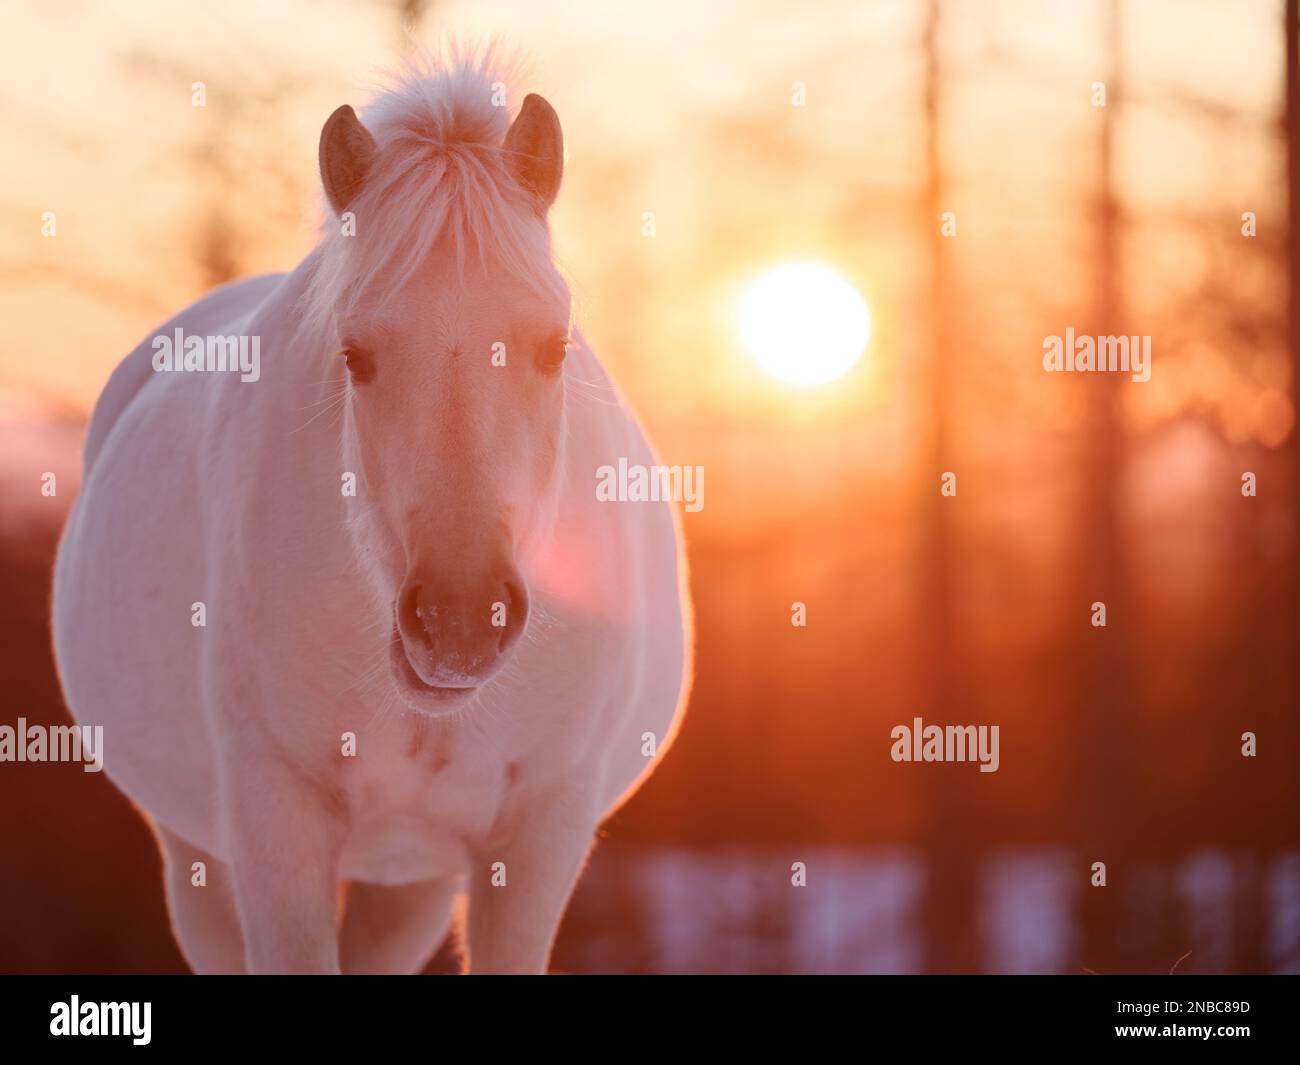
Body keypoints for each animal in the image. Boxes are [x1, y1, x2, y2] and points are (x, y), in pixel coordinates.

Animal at [51, 52, 692, 975]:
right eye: (354, 354)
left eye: (554, 345)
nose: (460, 620)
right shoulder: (274, 831)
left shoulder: (541, 835)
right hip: (197, 859)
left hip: (411, 880)